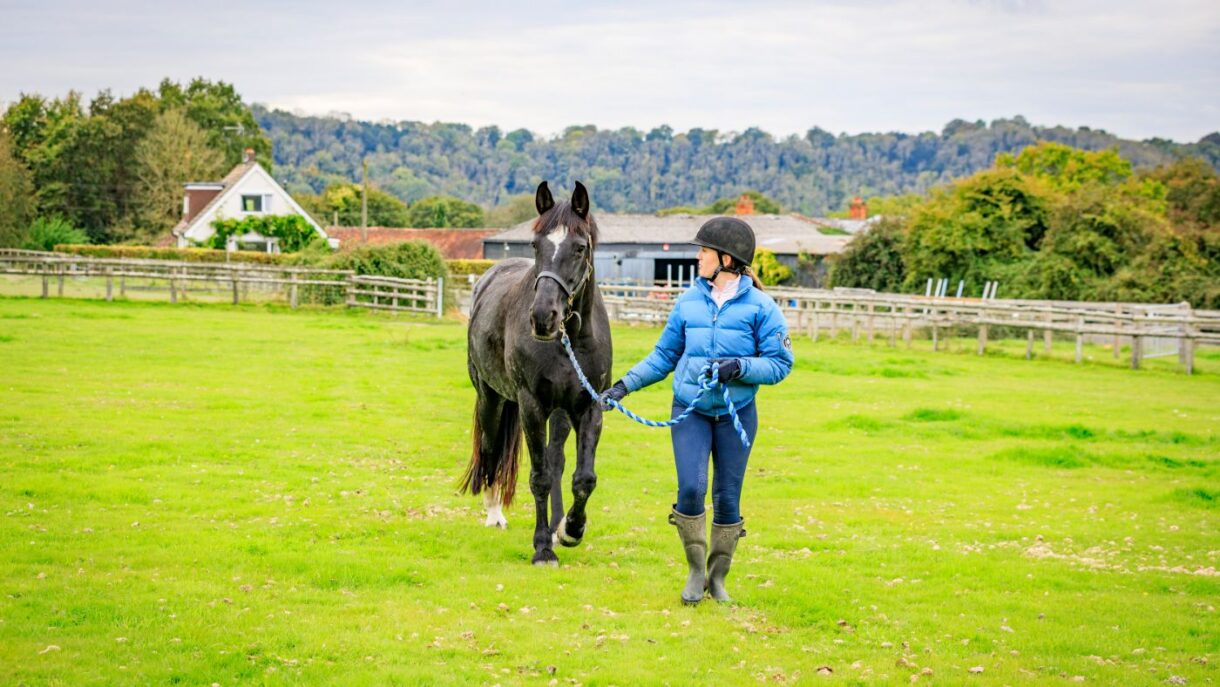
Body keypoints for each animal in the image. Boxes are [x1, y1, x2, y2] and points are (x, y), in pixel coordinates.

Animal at [460, 180, 612, 566]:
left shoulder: (589, 407)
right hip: (492, 399)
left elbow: (582, 477)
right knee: (491, 448)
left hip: (559, 413)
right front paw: (543, 547)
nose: (543, 316)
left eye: (580, 247)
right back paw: (494, 512)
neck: (570, 338)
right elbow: (539, 476)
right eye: (535, 245)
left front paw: (571, 529)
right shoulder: (530, 406)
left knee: (556, 460)